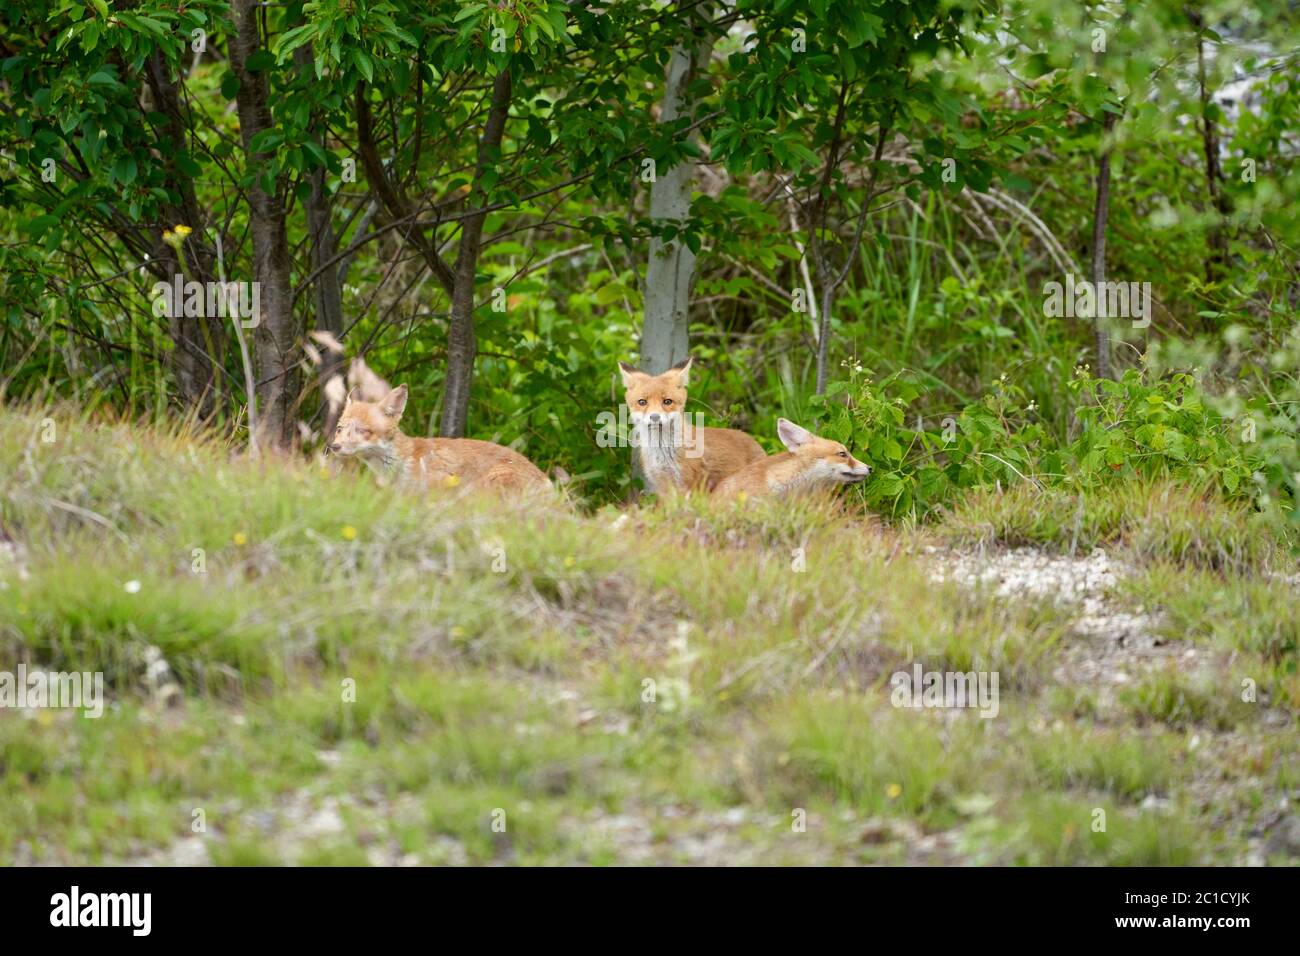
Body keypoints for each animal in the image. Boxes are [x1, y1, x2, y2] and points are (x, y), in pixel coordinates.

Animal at [618, 356, 764, 494]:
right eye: (642, 402)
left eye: (667, 401)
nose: (654, 417)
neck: (661, 454)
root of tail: (753, 440)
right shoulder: (661, 484)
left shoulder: (688, 483)